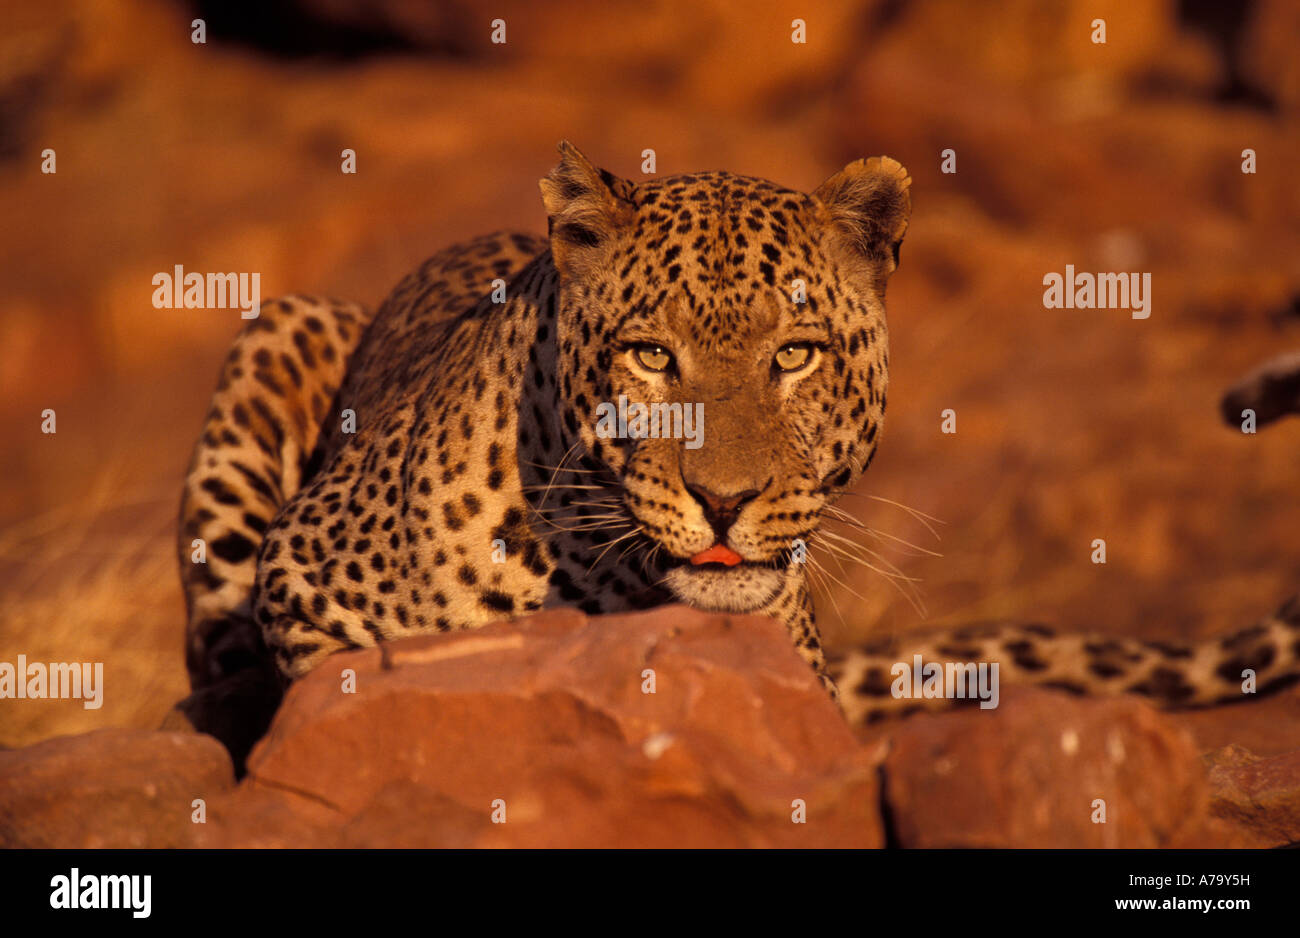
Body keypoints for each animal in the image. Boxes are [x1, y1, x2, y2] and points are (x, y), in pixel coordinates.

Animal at [176, 141, 1300, 765]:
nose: (725, 501)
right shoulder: (303, 579)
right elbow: (337, 683)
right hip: (279, 326)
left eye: (794, 354)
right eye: (650, 355)